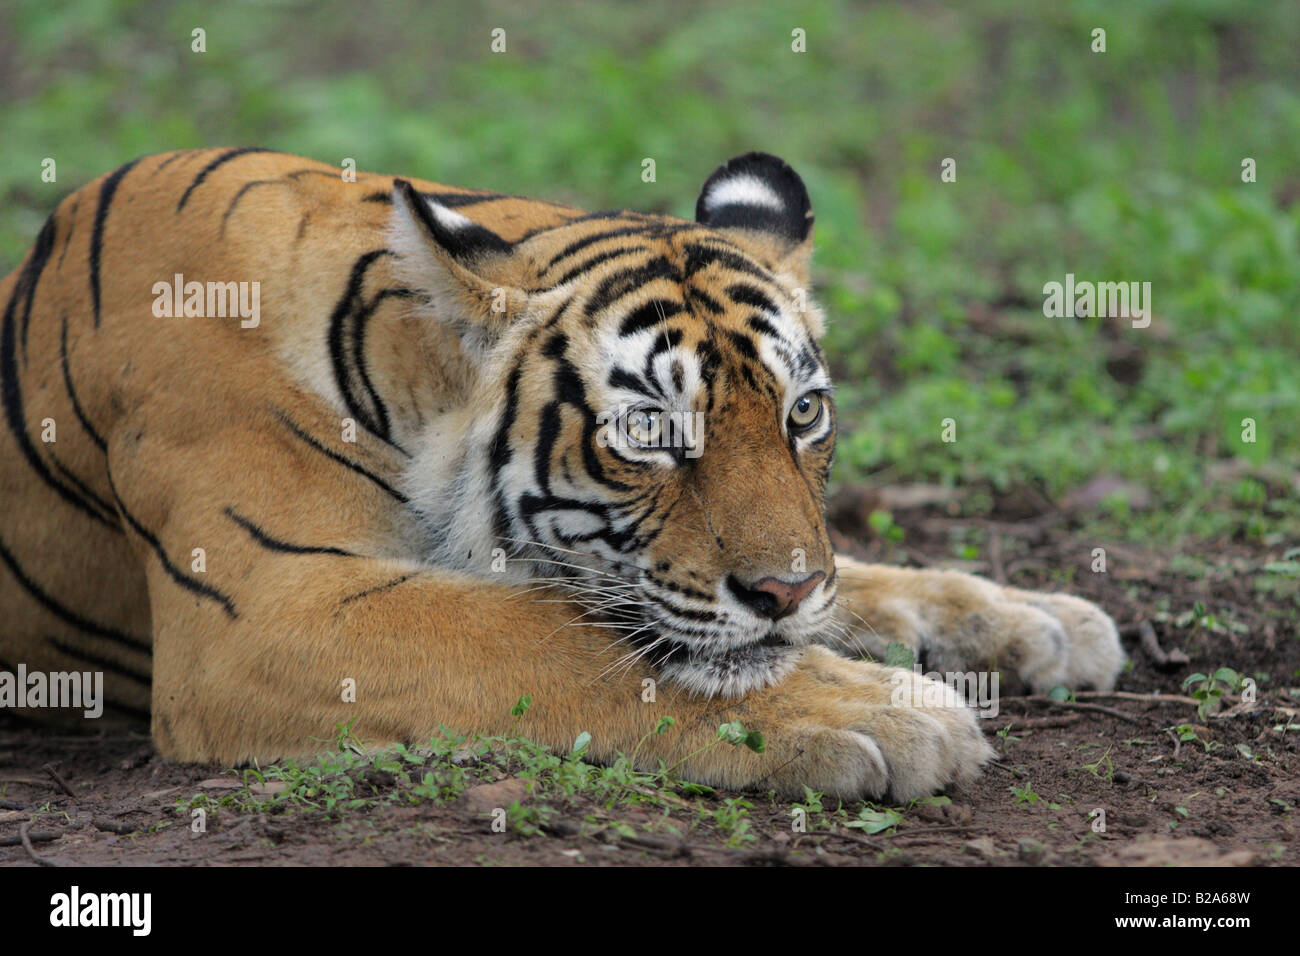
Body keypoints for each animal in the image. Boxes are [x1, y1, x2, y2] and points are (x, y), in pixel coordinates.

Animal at [0, 148, 1124, 800]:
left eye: (802, 414)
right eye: (650, 430)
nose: (783, 592)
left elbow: (870, 580)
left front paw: (1037, 620)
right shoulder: (262, 606)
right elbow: (554, 639)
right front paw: (875, 710)